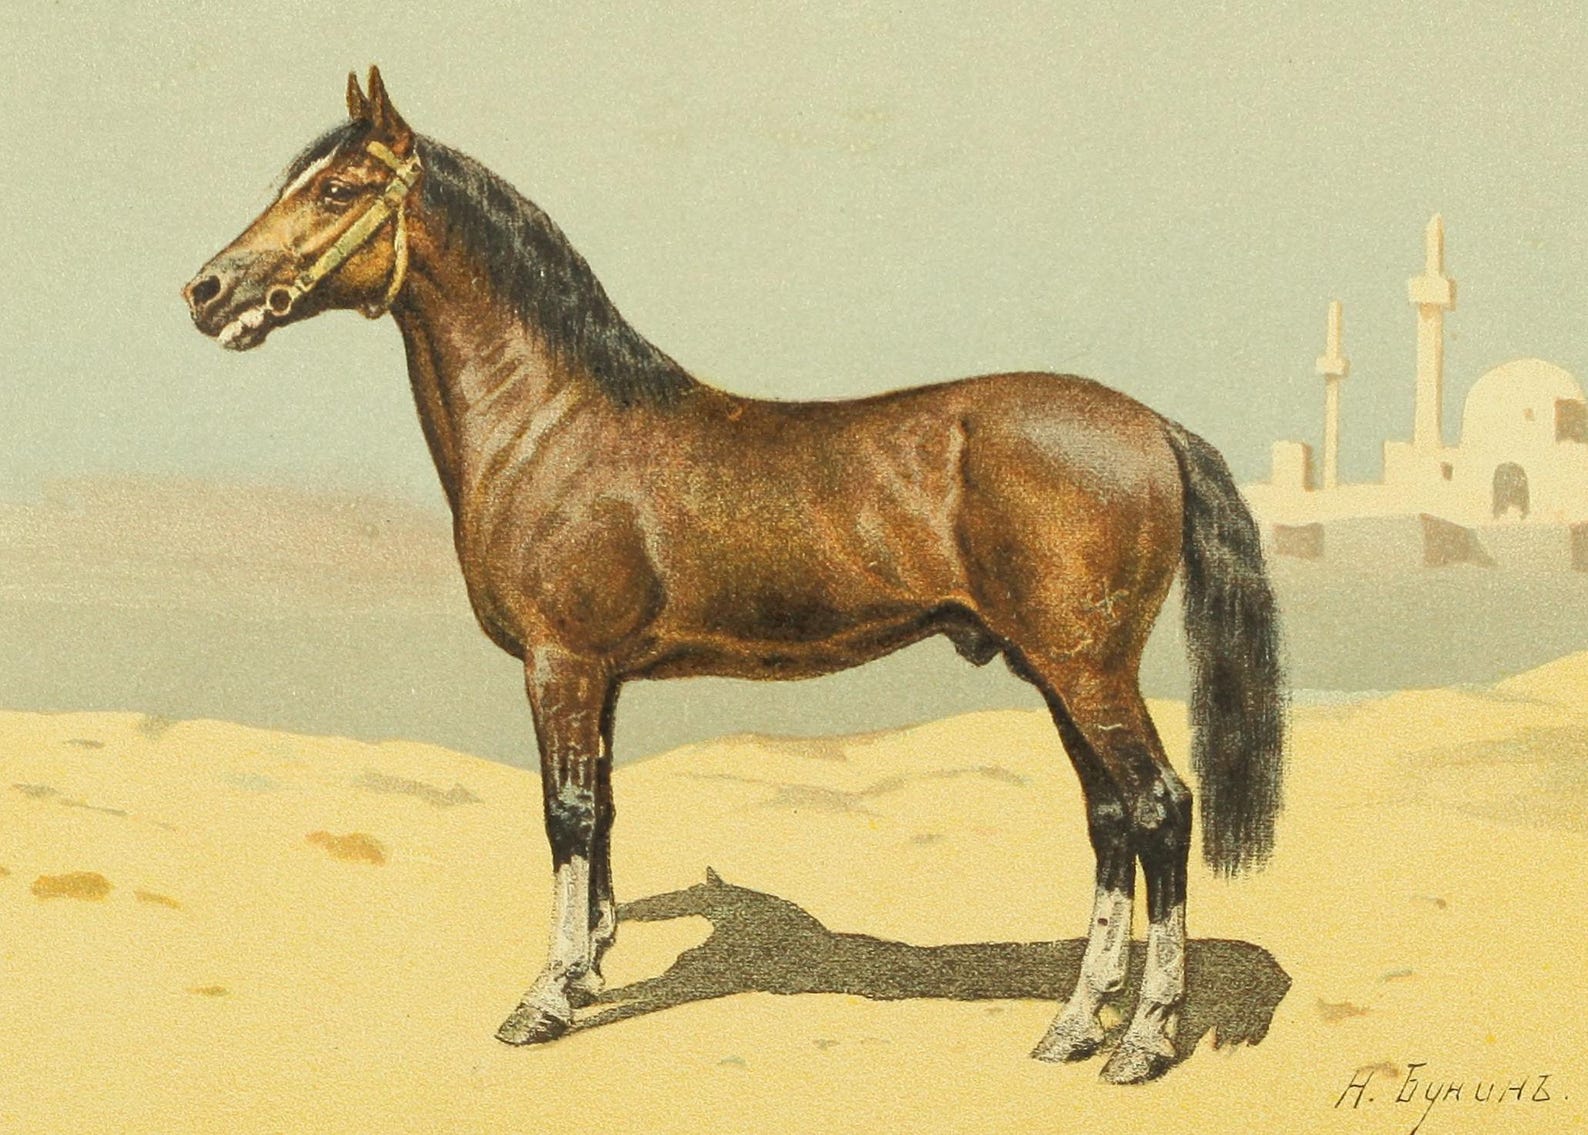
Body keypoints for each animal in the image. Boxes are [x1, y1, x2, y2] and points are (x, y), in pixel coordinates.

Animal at [182, 67, 1284, 1085]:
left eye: (336, 188)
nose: (207, 292)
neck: (551, 421)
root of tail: (1153, 428)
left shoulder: (558, 663)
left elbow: (565, 816)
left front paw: (545, 999)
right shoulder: (599, 677)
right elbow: (605, 810)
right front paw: (589, 969)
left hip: (1086, 668)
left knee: (1160, 809)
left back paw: (1143, 1039)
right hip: (1051, 669)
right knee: (1109, 821)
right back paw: (1071, 1025)